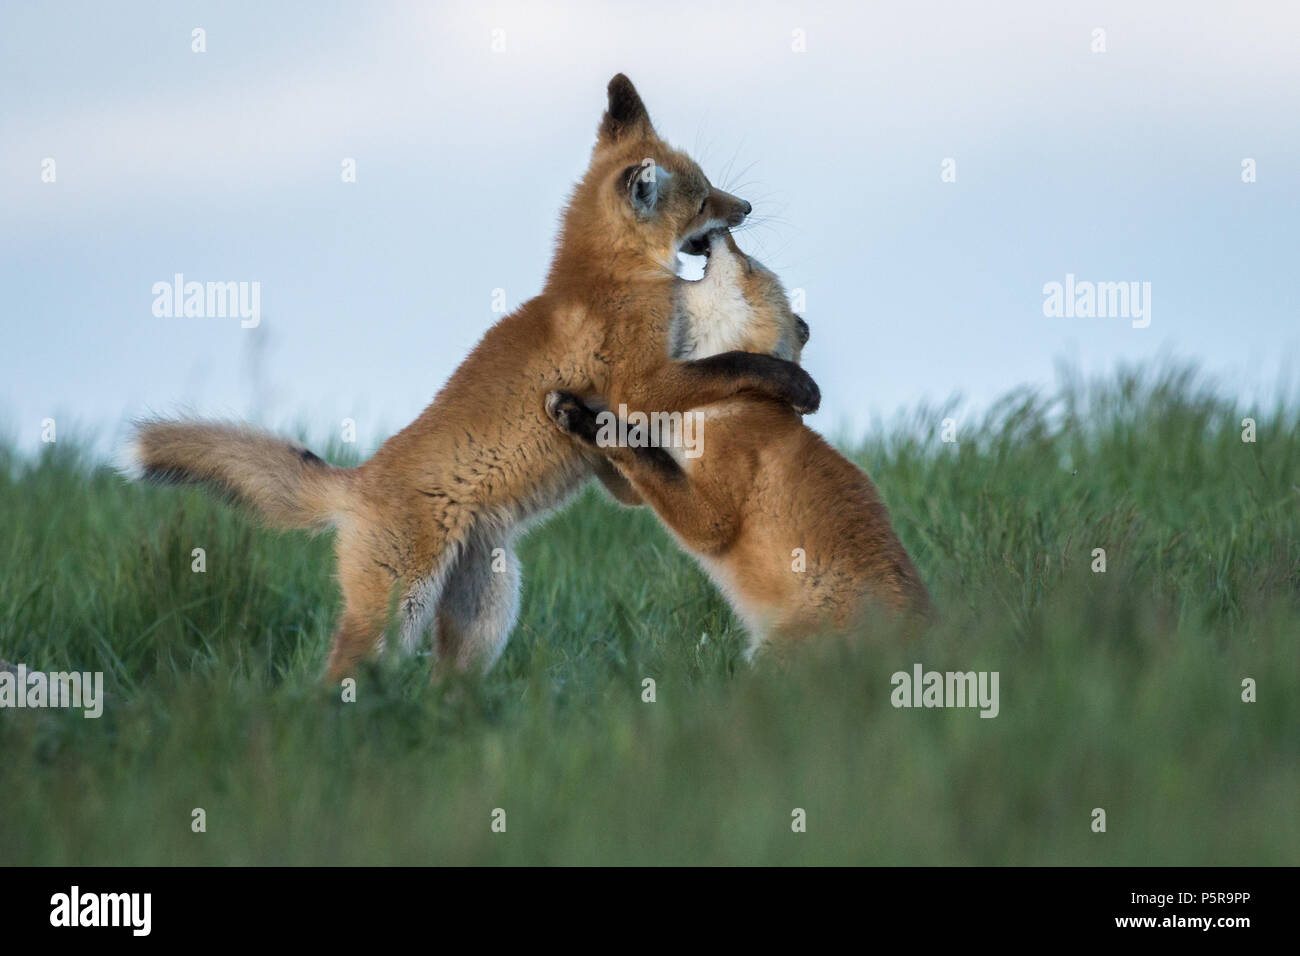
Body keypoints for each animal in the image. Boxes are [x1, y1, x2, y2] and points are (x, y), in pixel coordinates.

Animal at [124, 76, 820, 681]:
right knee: (337, 677)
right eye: (703, 199)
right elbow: (731, 366)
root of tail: (358, 480)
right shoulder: (642, 384)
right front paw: (793, 381)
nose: (747, 207)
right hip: (395, 614)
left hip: (488, 610)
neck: (612, 277)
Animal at [544, 230, 933, 655]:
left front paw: (580, 416)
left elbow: (628, 444)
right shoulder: (640, 485)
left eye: (747, 265)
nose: (722, 230)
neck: (715, 406)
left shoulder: (711, 518)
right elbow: (632, 452)